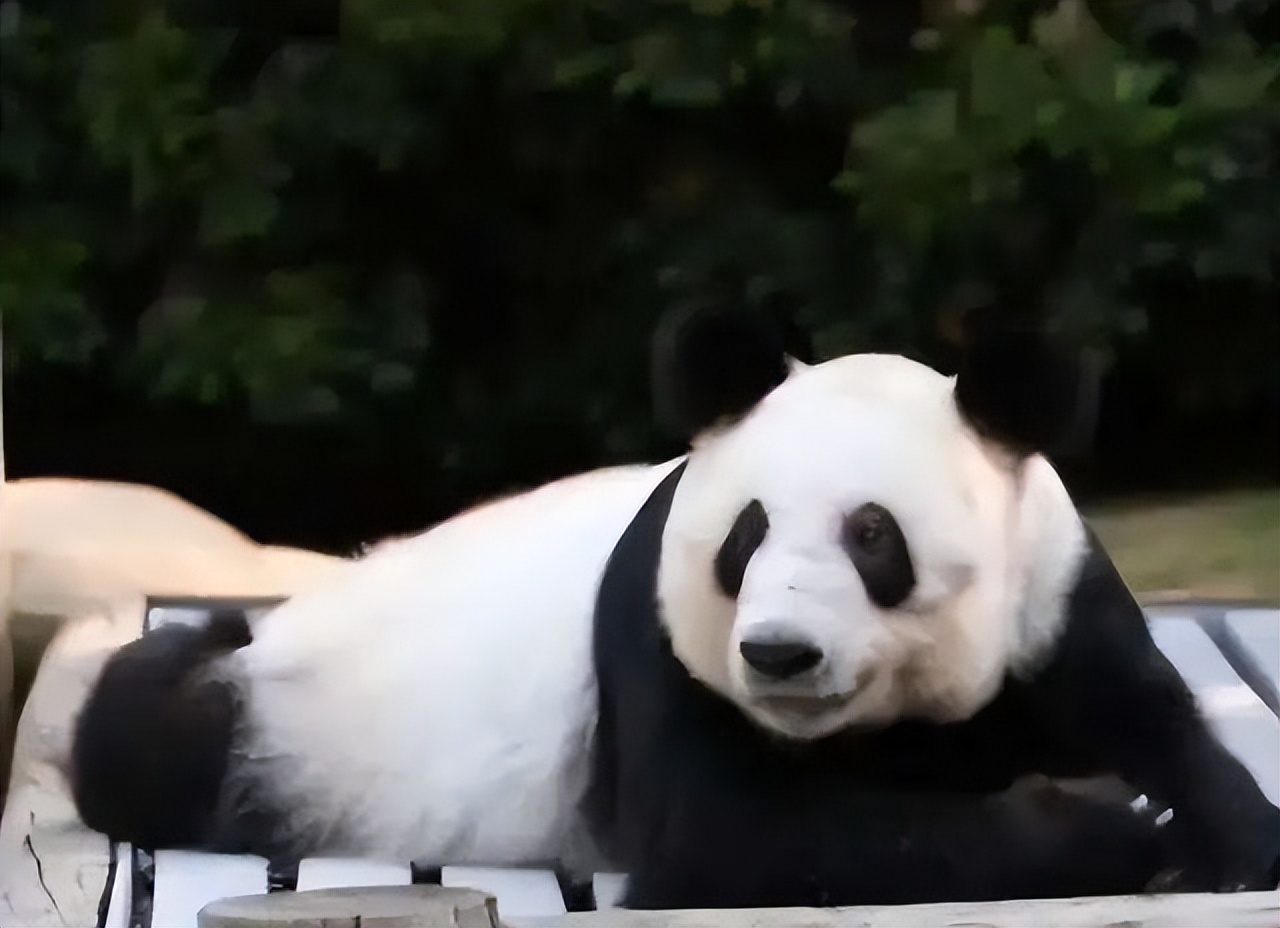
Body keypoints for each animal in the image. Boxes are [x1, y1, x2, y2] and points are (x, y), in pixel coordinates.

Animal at [70, 304, 1280, 909]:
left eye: (873, 537)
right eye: (744, 539)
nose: (780, 655)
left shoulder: (1054, 600)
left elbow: (1149, 715)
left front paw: (1211, 824)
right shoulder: (654, 643)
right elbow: (737, 838)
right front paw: (1116, 827)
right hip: (287, 721)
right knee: (152, 718)